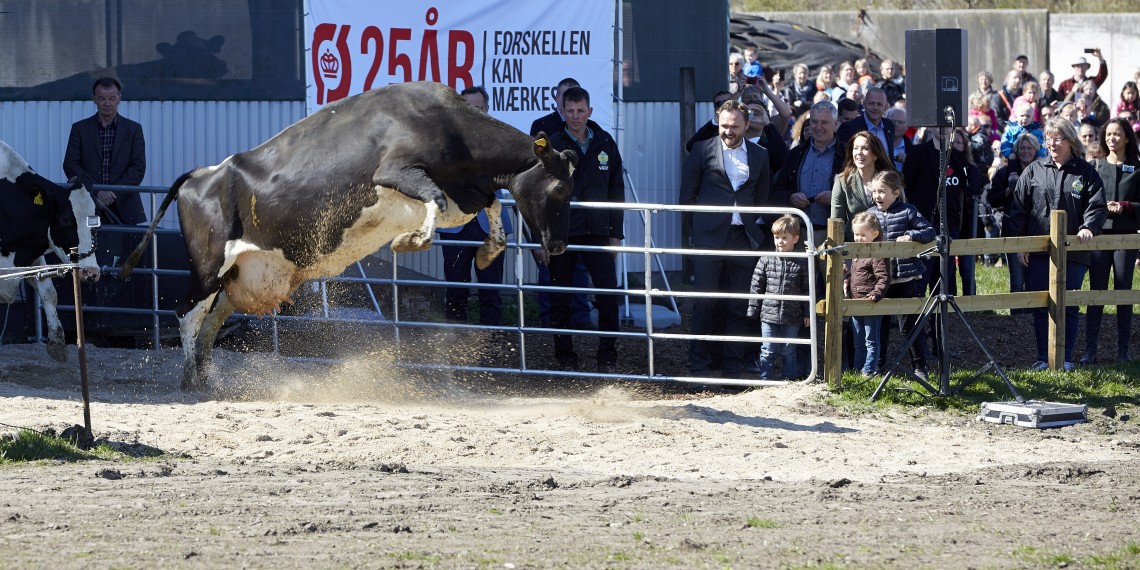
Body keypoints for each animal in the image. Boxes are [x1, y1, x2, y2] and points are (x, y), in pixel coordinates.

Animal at [0, 141, 101, 360]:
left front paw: (57, 343)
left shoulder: (32, 255)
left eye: (96, 220)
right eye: (66, 219)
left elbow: (48, 291)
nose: (91, 272)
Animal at [120, 81, 577, 391]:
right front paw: (410, 241)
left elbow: (491, 204)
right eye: (560, 188)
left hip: (236, 279)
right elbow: (435, 198)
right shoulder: (396, 172)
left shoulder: (466, 194)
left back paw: (208, 378)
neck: (449, 126)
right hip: (208, 266)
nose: (558, 246)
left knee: (211, 324)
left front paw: (487, 250)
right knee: (186, 314)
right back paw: (190, 381)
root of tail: (202, 174)